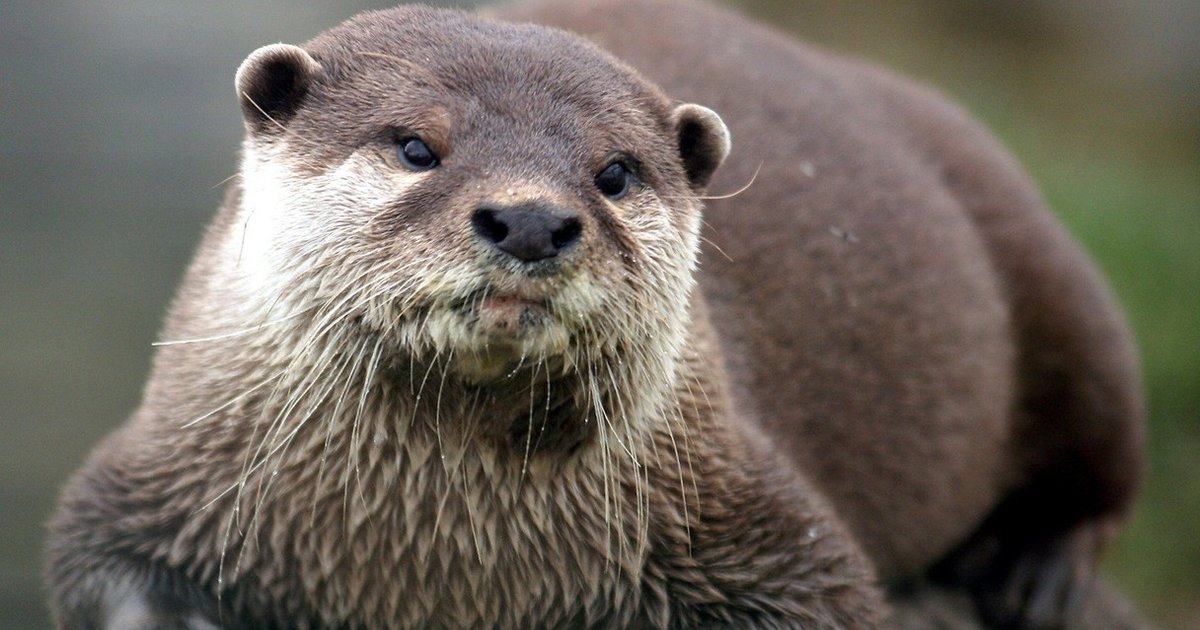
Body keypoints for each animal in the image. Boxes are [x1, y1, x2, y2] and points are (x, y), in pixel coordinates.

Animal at [46, 1, 1144, 629]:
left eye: (613, 173)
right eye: (415, 146)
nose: (533, 219)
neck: (429, 565)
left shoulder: (760, 519)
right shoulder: (147, 480)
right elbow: (98, 569)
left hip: (1054, 280)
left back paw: (1033, 571)